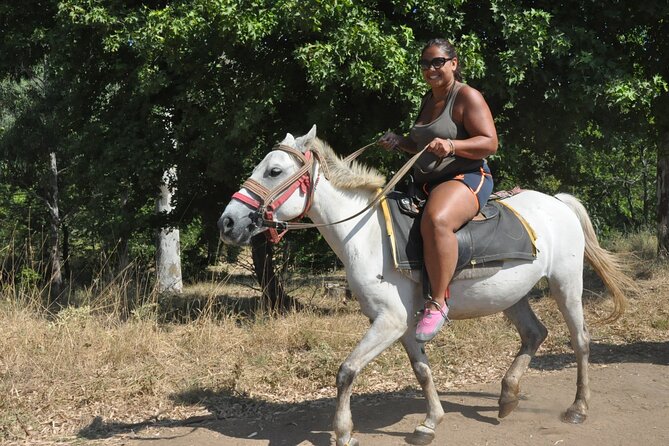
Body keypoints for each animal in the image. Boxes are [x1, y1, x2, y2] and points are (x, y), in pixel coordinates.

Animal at [218, 125, 633, 446]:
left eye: (274, 170)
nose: (227, 222)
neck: (365, 233)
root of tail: (558, 202)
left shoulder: (388, 321)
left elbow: (346, 371)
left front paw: (344, 432)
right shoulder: (402, 324)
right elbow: (422, 371)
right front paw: (430, 422)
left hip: (566, 284)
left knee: (580, 340)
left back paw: (577, 408)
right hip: (512, 295)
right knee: (535, 333)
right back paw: (507, 397)